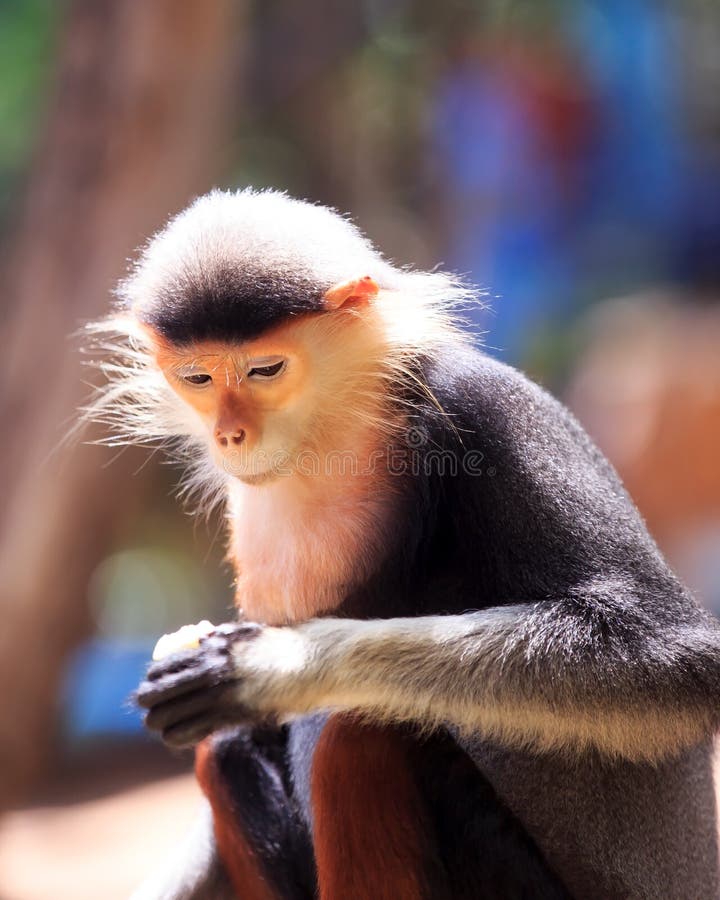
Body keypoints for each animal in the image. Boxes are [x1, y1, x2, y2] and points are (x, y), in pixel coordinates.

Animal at [86, 189, 720, 899]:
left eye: (265, 369)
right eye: (198, 379)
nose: (231, 434)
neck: (335, 428)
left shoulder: (480, 407)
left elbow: (665, 650)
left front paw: (280, 664)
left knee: (365, 734)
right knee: (229, 749)